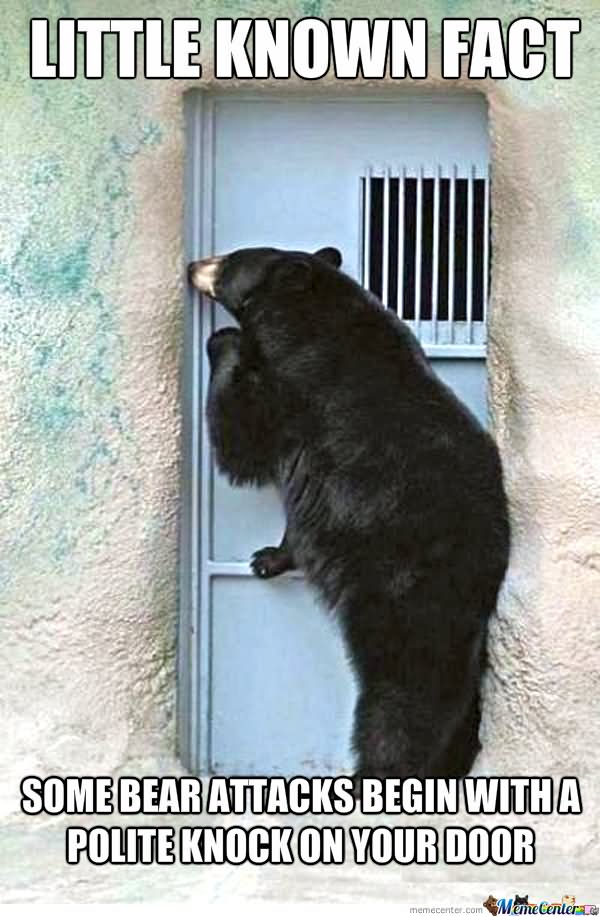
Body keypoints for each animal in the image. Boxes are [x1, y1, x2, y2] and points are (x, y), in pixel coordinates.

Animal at [191, 245, 510, 779]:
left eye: (230, 259)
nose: (193, 266)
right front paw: (270, 557)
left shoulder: (301, 400)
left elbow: (245, 445)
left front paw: (226, 341)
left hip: (408, 590)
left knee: (408, 691)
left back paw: (378, 770)